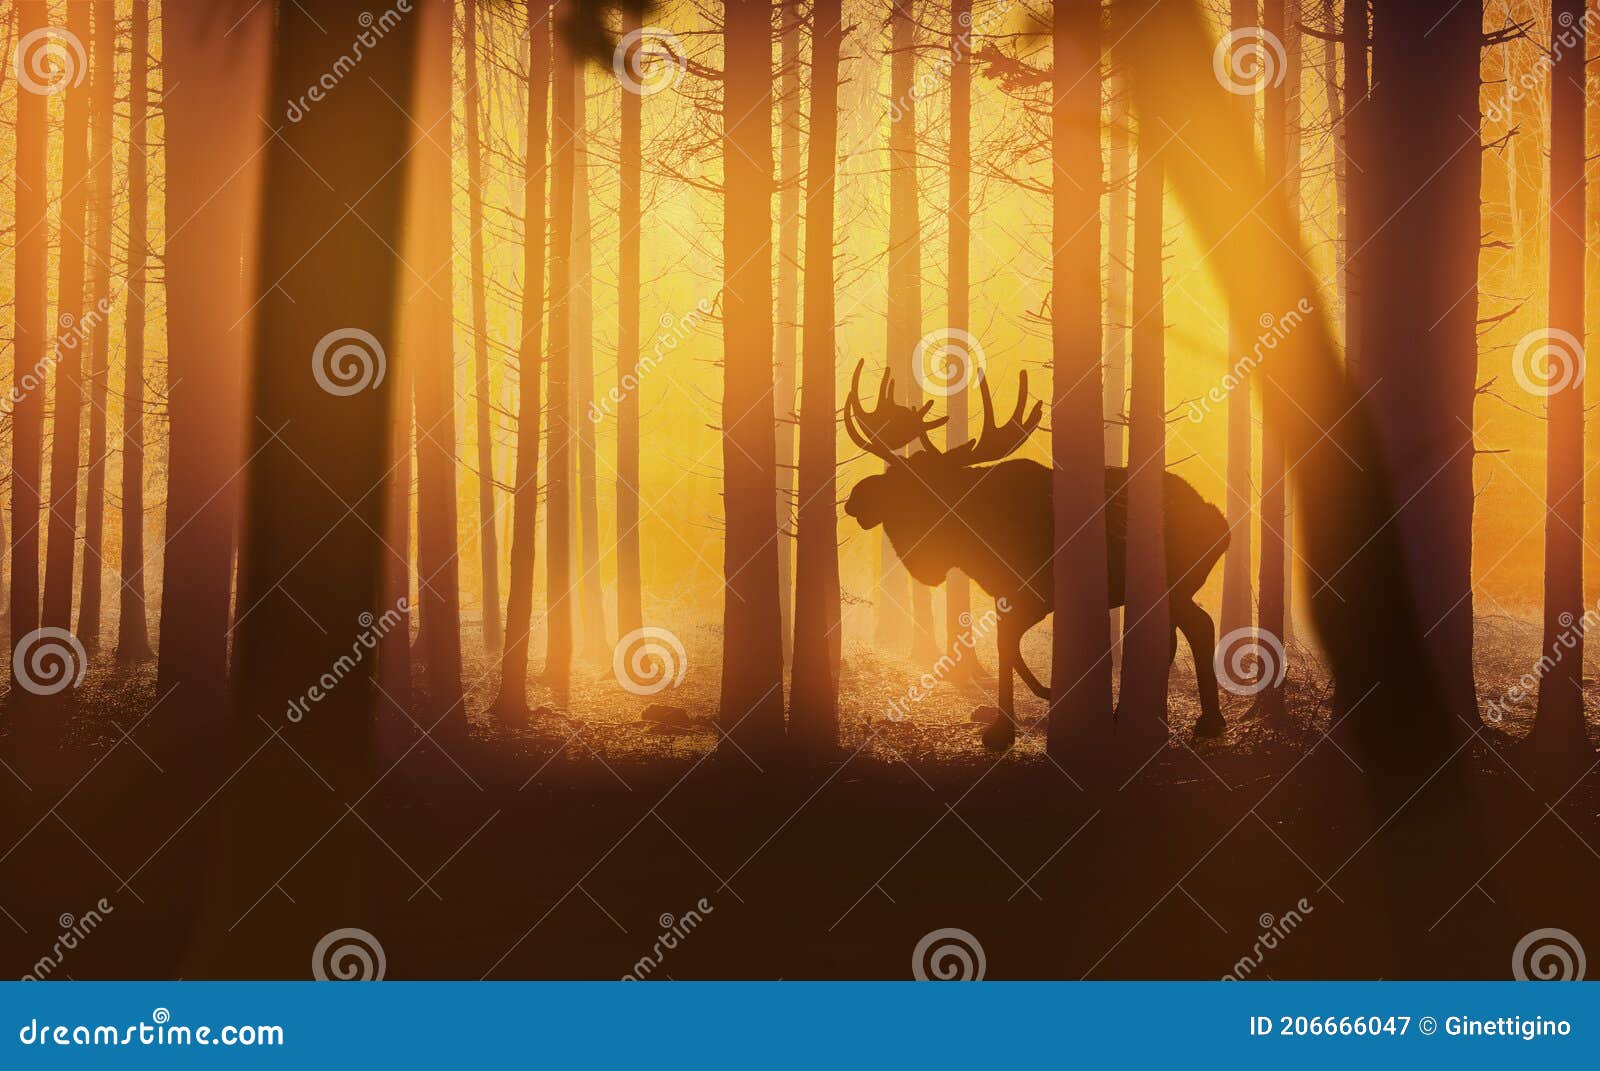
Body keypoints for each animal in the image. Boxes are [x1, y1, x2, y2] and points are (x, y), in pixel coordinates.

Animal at [841, 360, 1231, 751]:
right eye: (892, 473)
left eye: (916, 485)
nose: (855, 500)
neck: (972, 539)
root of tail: (1222, 525)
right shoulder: (1001, 592)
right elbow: (1005, 645)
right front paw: (1008, 718)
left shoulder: (1039, 594)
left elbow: (1008, 644)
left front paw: (1014, 718)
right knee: (1190, 627)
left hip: (1174, 585)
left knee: (1196, 627)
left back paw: (1203, 719)